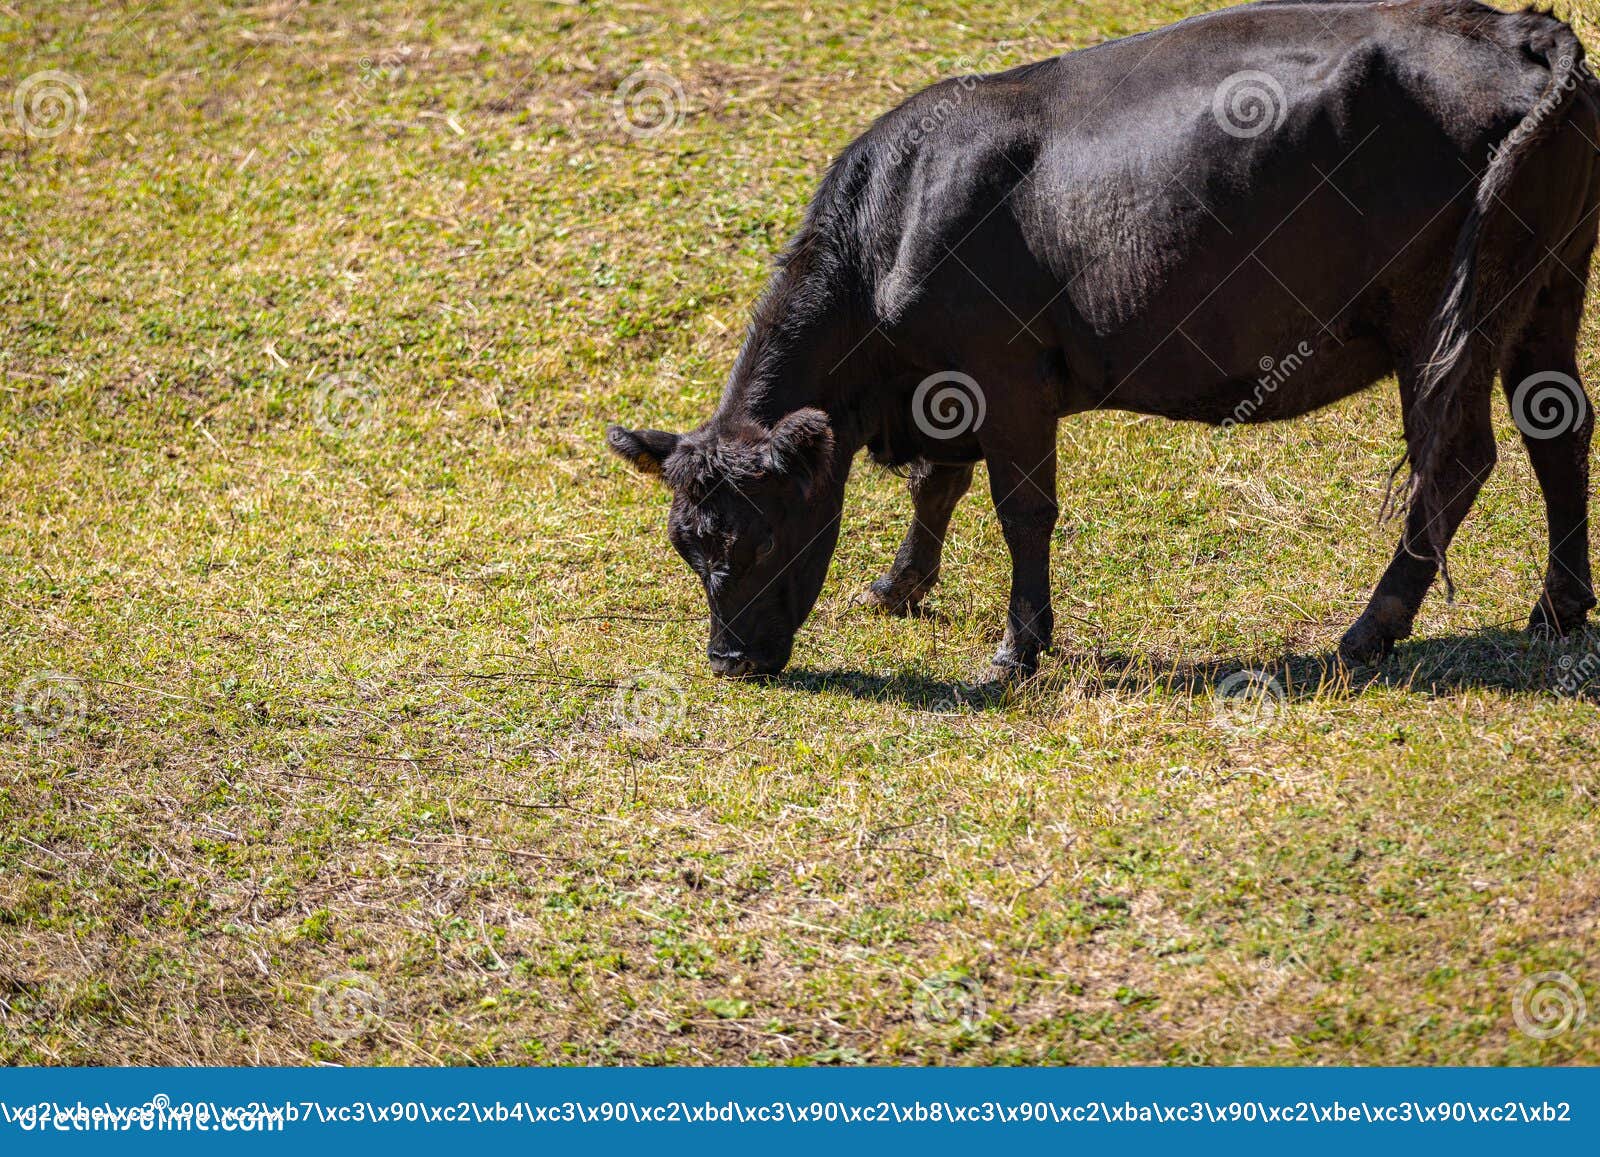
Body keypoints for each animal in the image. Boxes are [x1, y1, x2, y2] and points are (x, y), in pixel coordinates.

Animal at [607, 0, 1599, 680]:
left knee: (1459, 460)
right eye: (685, 545)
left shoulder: (1004, 374)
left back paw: (1369, 631)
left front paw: (1018, 647)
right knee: (1559, 427)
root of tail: (1519, 29)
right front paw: (898, 587)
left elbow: (1020, 507)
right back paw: (1557, 607)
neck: (889, 224)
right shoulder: (947, 386)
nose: (729, 661)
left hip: (1439, 315)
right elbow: (938, 484)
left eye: (760, 536)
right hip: (1550, 284)